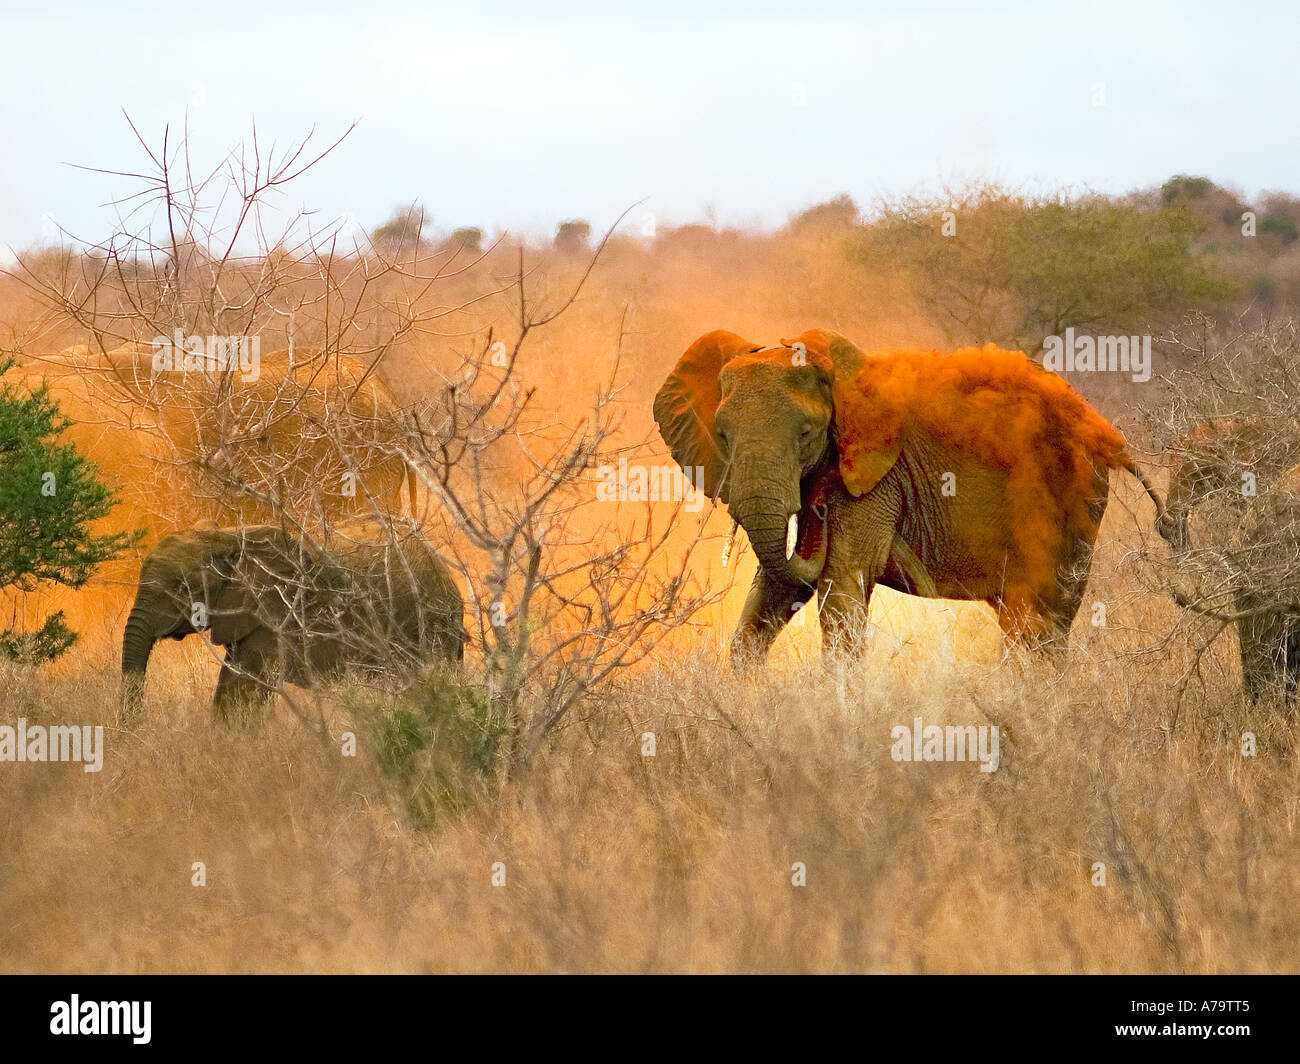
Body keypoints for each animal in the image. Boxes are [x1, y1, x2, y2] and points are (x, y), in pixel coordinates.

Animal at [653, 328, 1167, 665]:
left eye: (806, 434)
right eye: (722, 436)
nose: (812, 515)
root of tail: (1106, 434)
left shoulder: (876, 481)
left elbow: (840, 585)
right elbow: (778, 588)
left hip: (1073, 497)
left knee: (1041, 620)